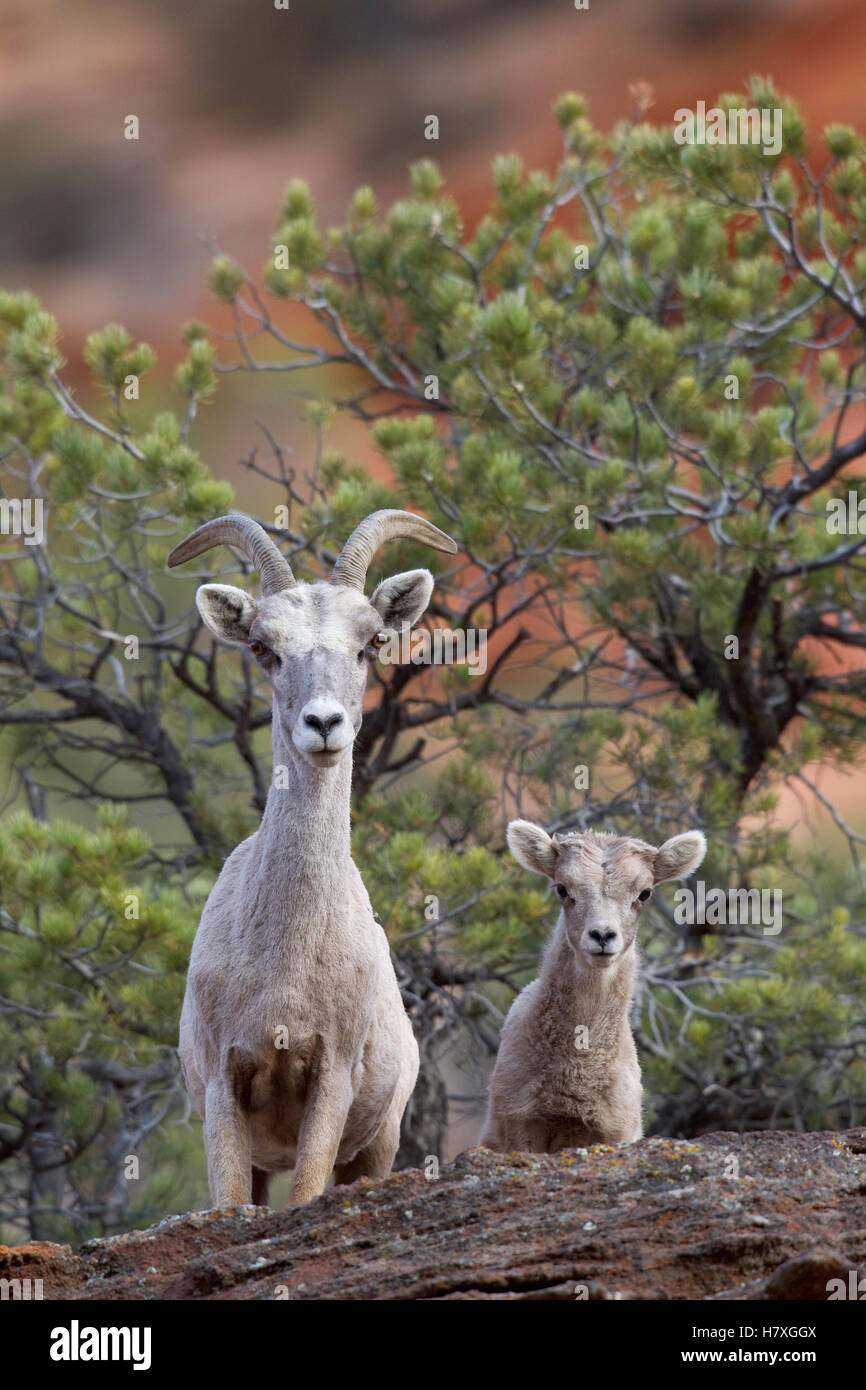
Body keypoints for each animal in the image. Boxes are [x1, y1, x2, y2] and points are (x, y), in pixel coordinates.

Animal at [168, 509, 457, 1207]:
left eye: (371, 643)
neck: (285, 968)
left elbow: (306, 1193)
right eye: (264, 649)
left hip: (378, 1146)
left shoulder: (332, 1082)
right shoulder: (223, 1087)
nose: (323, 724)